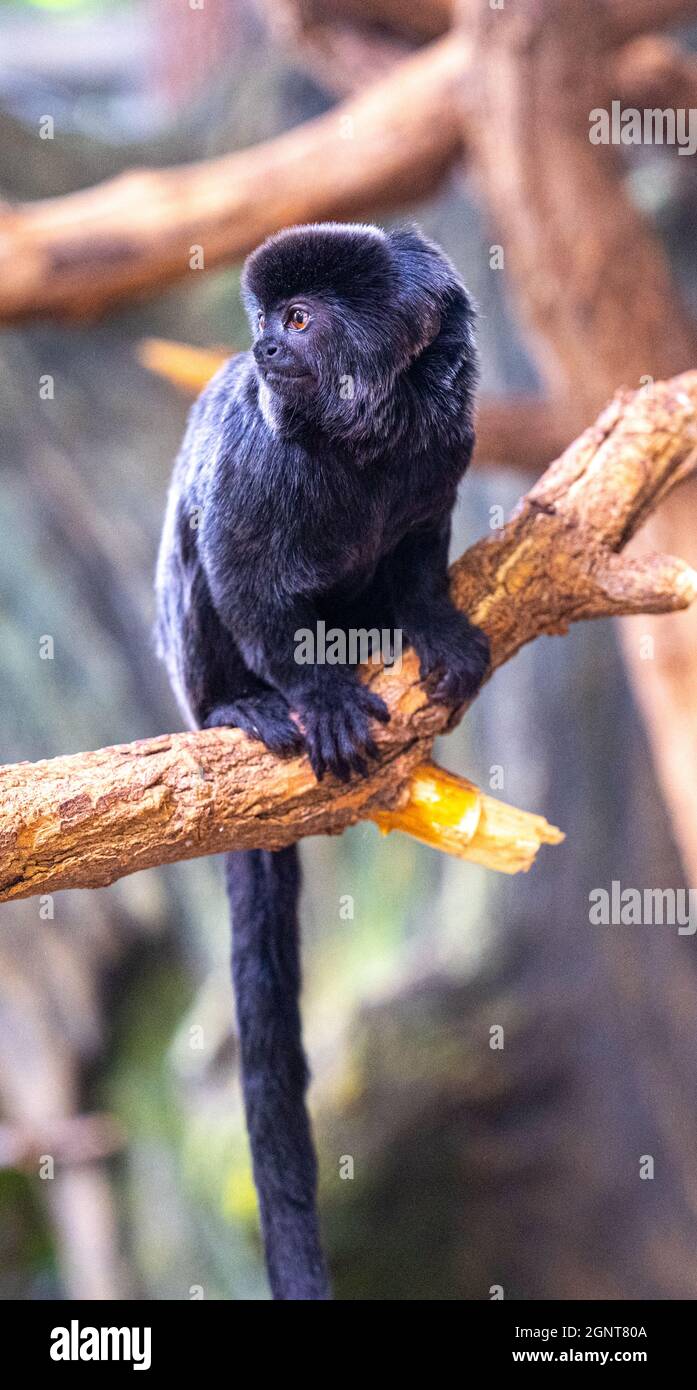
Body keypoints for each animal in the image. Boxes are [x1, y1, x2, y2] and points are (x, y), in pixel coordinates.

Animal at [155, 221, 489, 1300]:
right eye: (265, 321)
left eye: (297, 321)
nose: (262, 348)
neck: (362, 439)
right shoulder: (260, 455)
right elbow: (241, 570)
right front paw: (316, 694)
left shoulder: (445, 447)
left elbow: (420, 548)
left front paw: (433, 624)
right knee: (194, 552)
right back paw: (241, 708)